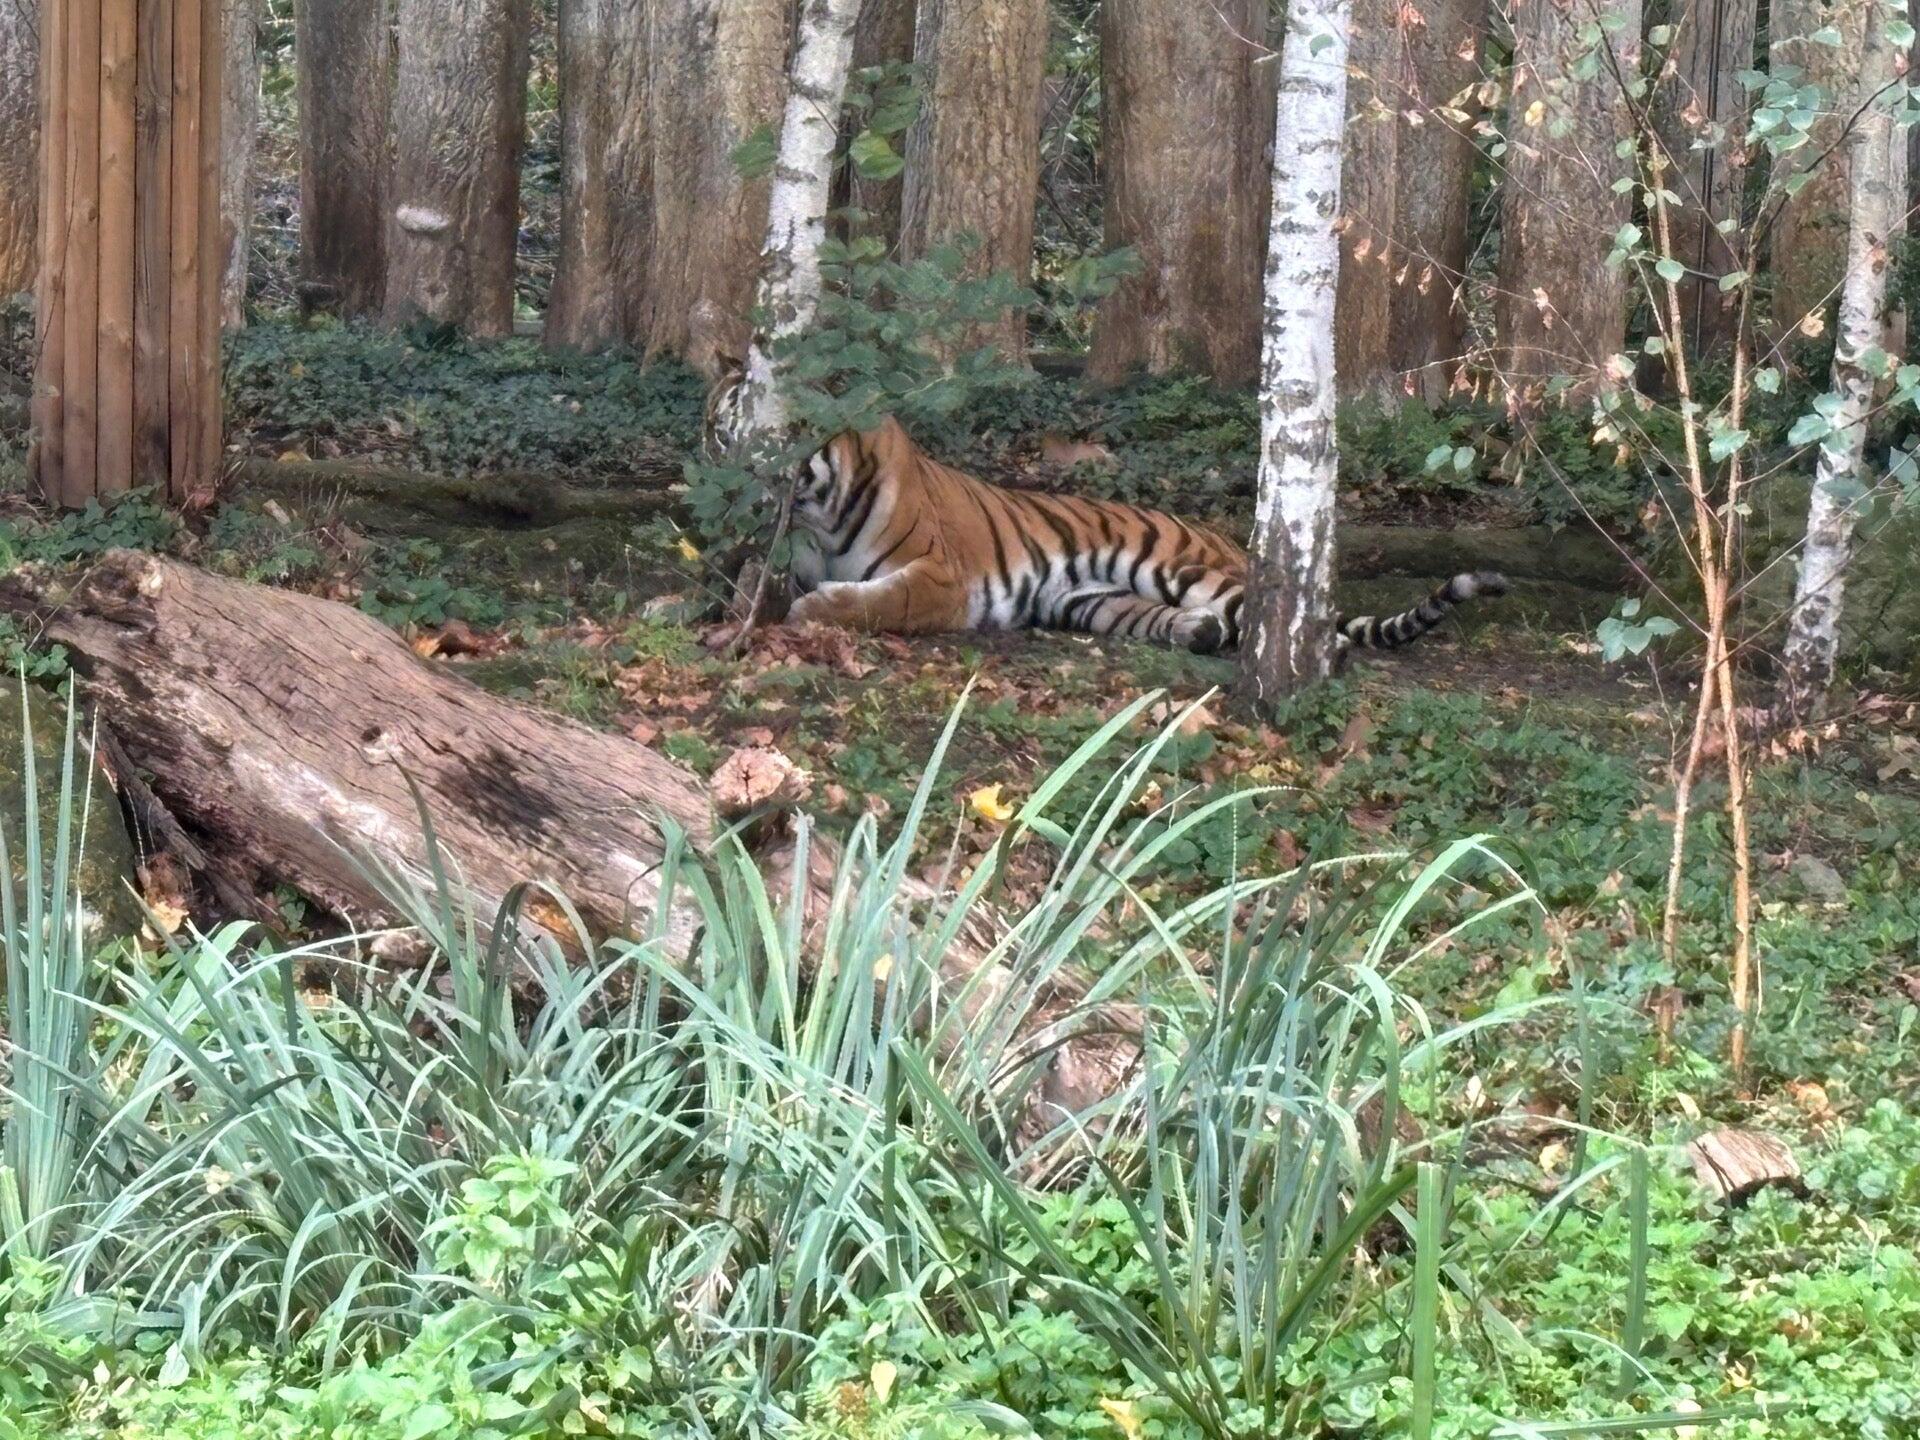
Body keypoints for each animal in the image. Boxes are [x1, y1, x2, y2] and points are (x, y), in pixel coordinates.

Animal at [703, 377, 1507, 659]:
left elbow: (873, 601)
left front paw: (813, 611)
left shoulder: (940, 579)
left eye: (771, 430)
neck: (820, 512)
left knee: (1304, 627)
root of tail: (1224, 535)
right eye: (720, 426)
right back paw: (1197, 635)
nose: (724, 464)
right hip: (1089, 600)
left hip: (1182, 568)